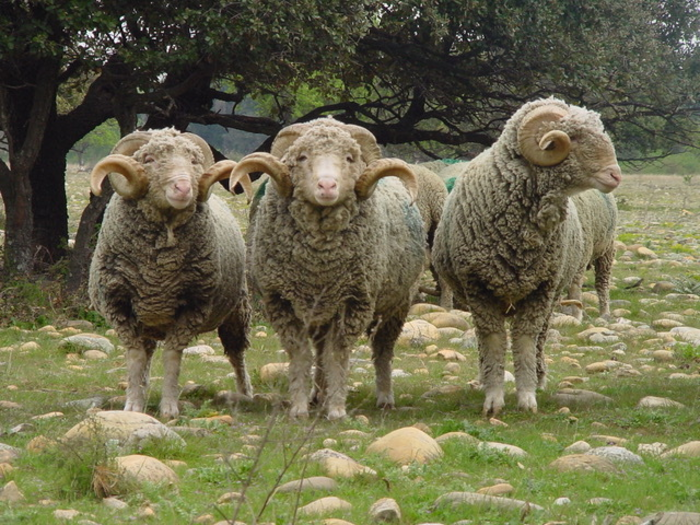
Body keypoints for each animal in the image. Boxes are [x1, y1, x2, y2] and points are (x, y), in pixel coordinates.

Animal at [88, 128, 254, 420]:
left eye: (193, 159)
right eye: (150, 159)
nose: (184, 188)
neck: (158, 274)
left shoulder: (192, 308)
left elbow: (172, 358)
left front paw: (169, 407)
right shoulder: (119, 306)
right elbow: (135, 358)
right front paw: (133, 405)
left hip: (237, 309)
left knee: (237, 353)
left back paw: (245, 393)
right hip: (146, 318)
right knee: (146, 353)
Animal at [229, 117, 426, 420]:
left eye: (349, 157)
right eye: (301, 157)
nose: (327, 186)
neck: (319, 262)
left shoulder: (355, 300)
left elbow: (338, 354)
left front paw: (336, 409)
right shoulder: (281, 301)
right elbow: (301, 354)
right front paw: (299, 406)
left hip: (399, 302)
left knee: (383, 348)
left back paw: (384, 397)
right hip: (321, 310)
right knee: (320, 348)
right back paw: (317, 395)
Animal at [432, 97, 622, 416]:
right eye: (574, 136)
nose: (615, 175)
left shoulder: (540, 289)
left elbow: (525, 339)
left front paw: (527, 395)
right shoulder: (478, 287)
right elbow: (493, 341)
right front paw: (493, 396)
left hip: (554, 294)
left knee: (542, 337)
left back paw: (540, 376)